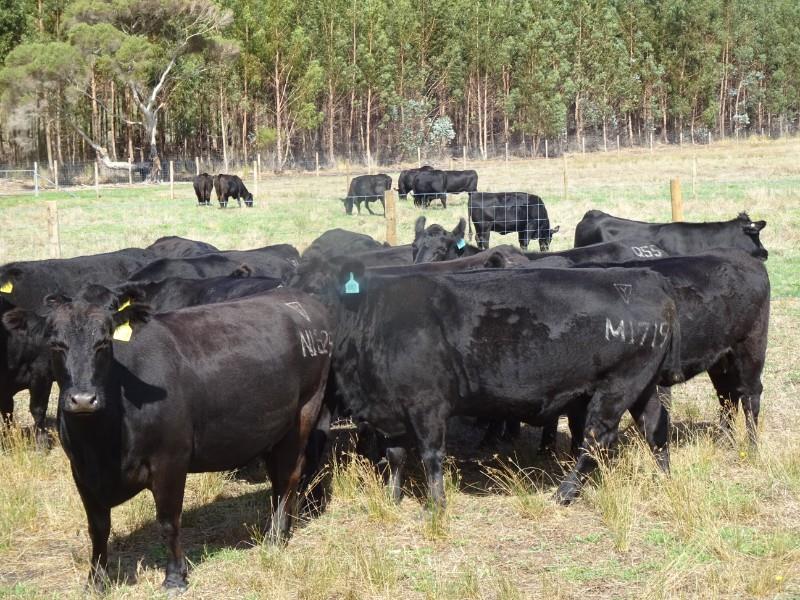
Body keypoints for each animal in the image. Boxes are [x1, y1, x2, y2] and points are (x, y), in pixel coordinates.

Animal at [1, 291, 332, 591]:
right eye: (55, 344)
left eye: (104, 342)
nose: (83, 399)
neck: (102, 444)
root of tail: (299, 300)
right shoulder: (81, 472)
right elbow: (98, 528)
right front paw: (96, 581)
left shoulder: (170, 461)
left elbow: (168, 521)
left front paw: (175, 577)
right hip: (272, 430)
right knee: (278, 477)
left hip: (305, 411)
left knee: (289, 475)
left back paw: (275, 537)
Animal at [313, 264, 681, 506]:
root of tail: (646, 277)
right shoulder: (392, 410)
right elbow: (396, 456)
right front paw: (393, 498)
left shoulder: (427, 405)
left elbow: (431, 456)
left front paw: (436, 507)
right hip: (643, 387)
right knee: (655, 427)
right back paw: (663, 479)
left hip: (618, 386)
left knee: (596, 440)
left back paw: (564, 493)